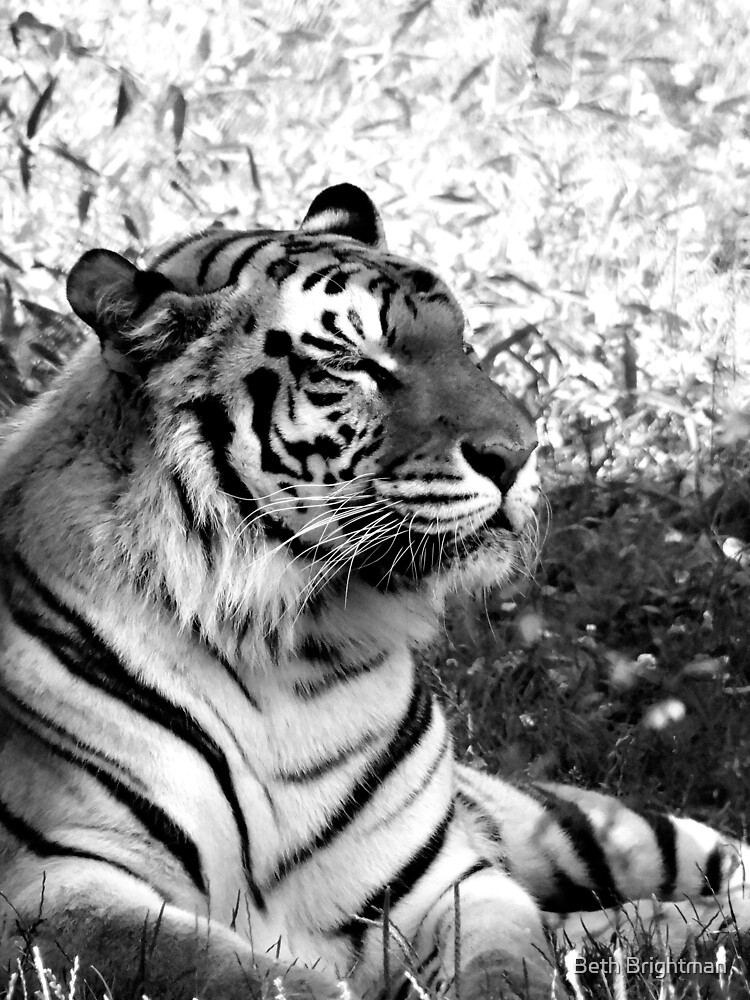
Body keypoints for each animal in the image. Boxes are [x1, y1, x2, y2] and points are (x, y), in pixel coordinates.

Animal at [0, 183, 748, 1000]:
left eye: (465, 347)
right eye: (355, 362)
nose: (520, 453)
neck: (281, 644)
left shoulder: (446, 879)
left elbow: (506, 964)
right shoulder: (55, 886)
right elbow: (239, 974)